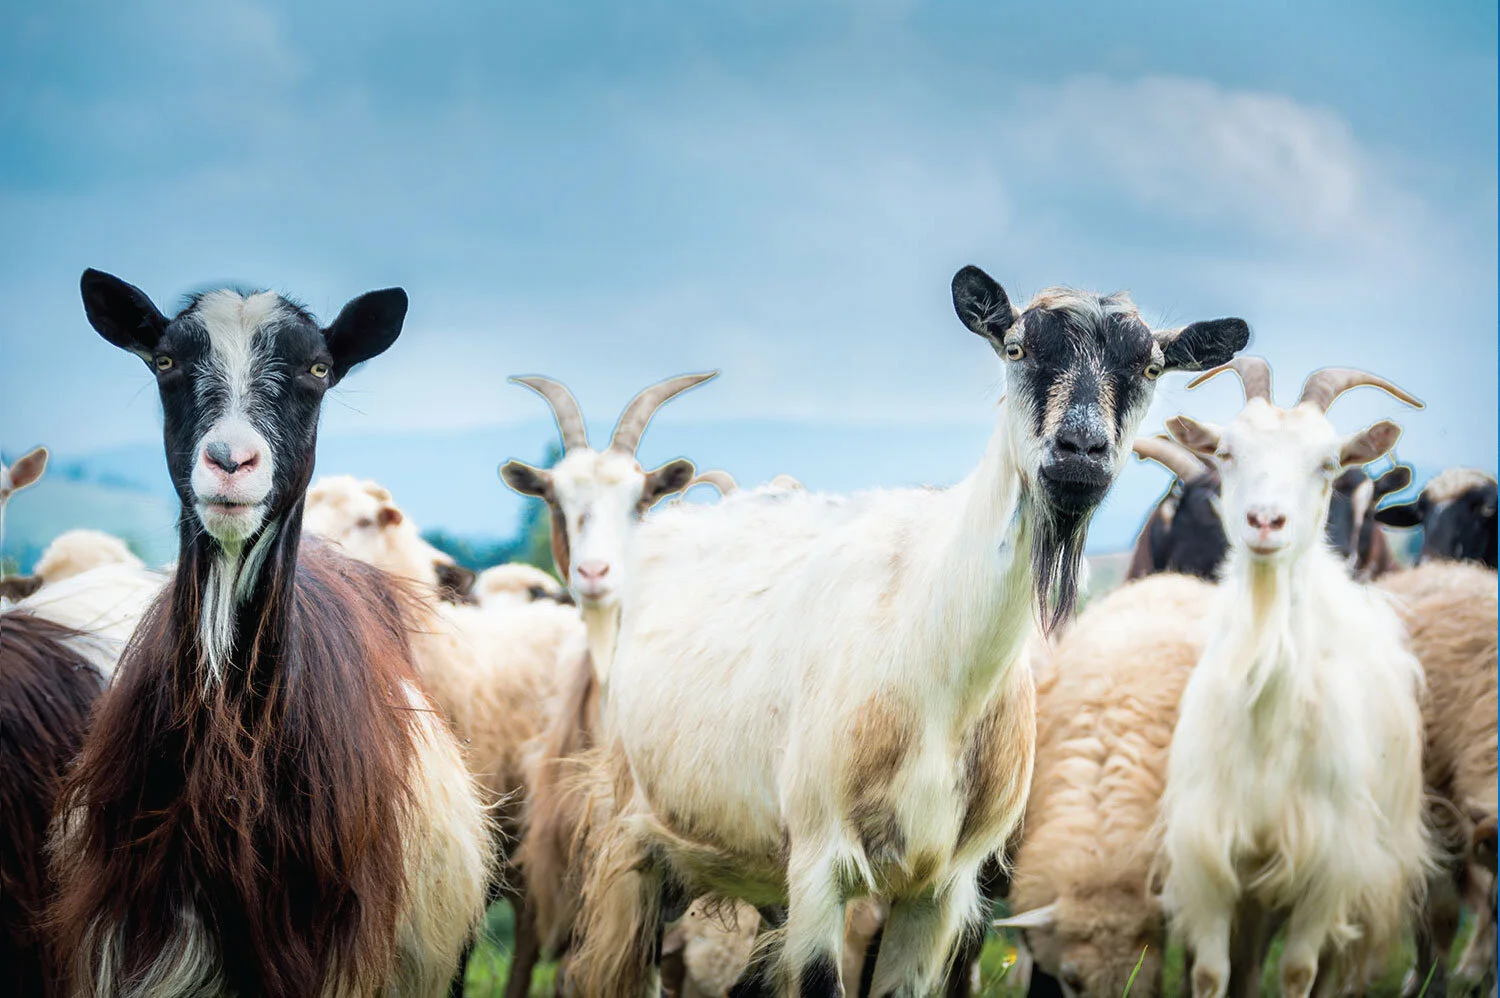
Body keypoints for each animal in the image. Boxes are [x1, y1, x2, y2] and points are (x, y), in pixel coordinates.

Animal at [574, 265, 1248, 997]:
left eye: (1151, 366)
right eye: (1015, 349)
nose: (1081, 453)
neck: (939, 671)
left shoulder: (940, 889)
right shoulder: (822, 867)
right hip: (631, 846)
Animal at [1158, 358, 1432, 998]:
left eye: (1328, 462)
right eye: (1227, 451)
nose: (1265, 521)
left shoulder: (1330, 863)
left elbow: (1300, 970)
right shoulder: (1210, 854)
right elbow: (1212, 972)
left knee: (1332, 968)